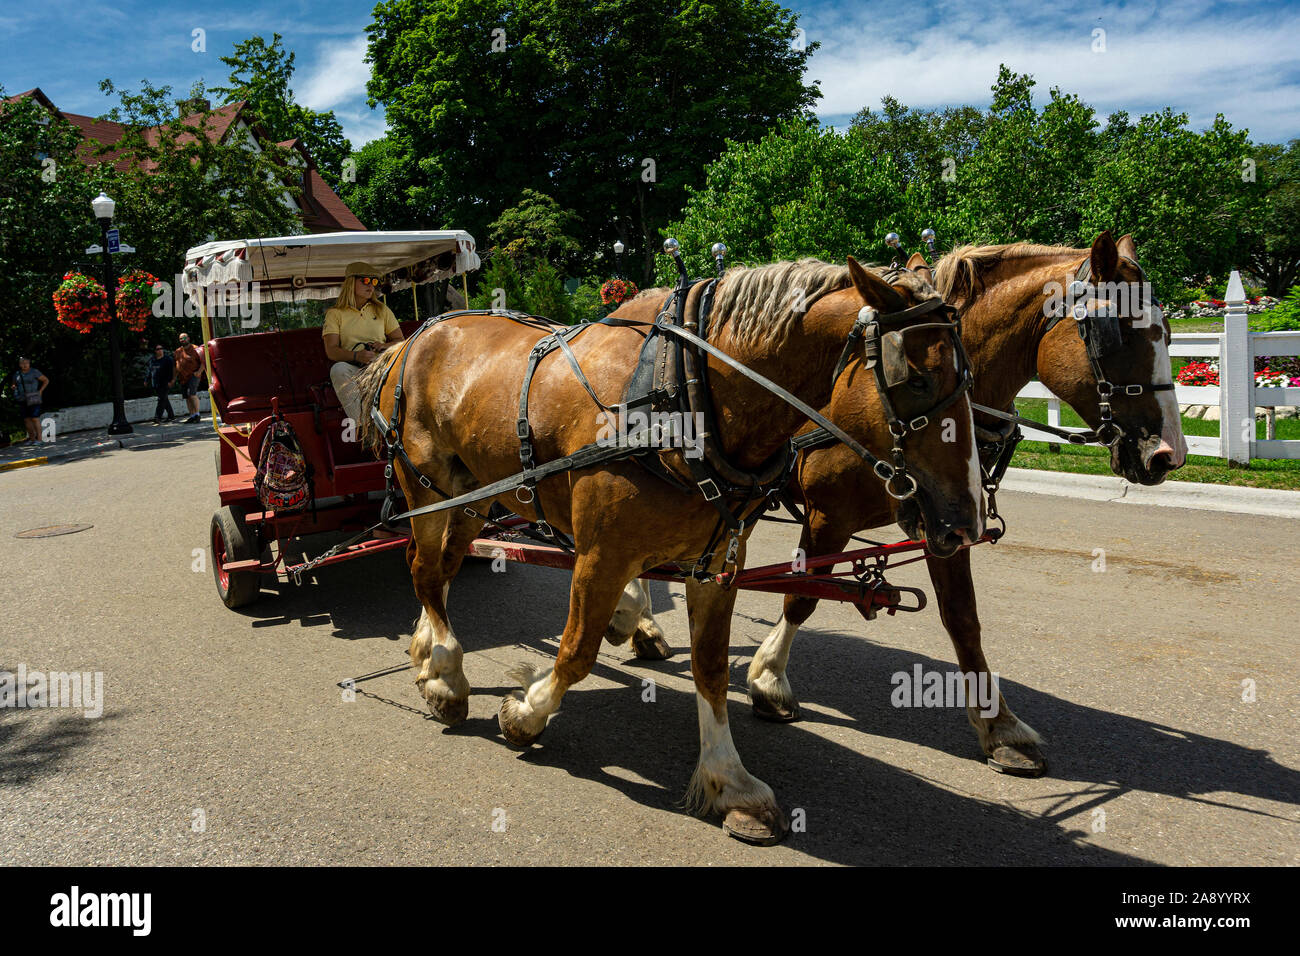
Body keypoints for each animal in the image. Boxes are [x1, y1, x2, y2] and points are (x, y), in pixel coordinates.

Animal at [358, 255, 984, 844]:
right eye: (917, 381)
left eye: (969, 377)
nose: (966, 521)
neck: (684, 392)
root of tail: (415, 337)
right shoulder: (602, 555)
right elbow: (576, 651)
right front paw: (527, 714)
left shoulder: (716, 560)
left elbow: (711, 668)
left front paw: (731, 782)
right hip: (427, 485)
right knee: (423, 570)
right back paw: (445, 674)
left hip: (475, 496)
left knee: (440, 570)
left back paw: (426, 652)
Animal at [619, 231, 1188, 777]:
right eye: (1119, 332)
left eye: (1167, 331)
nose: (1167, 454)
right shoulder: (829, 516)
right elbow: (801, 597)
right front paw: (769, 680)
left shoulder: (949, 520)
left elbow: (963, 618)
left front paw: (999, 727)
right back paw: (637, 621)